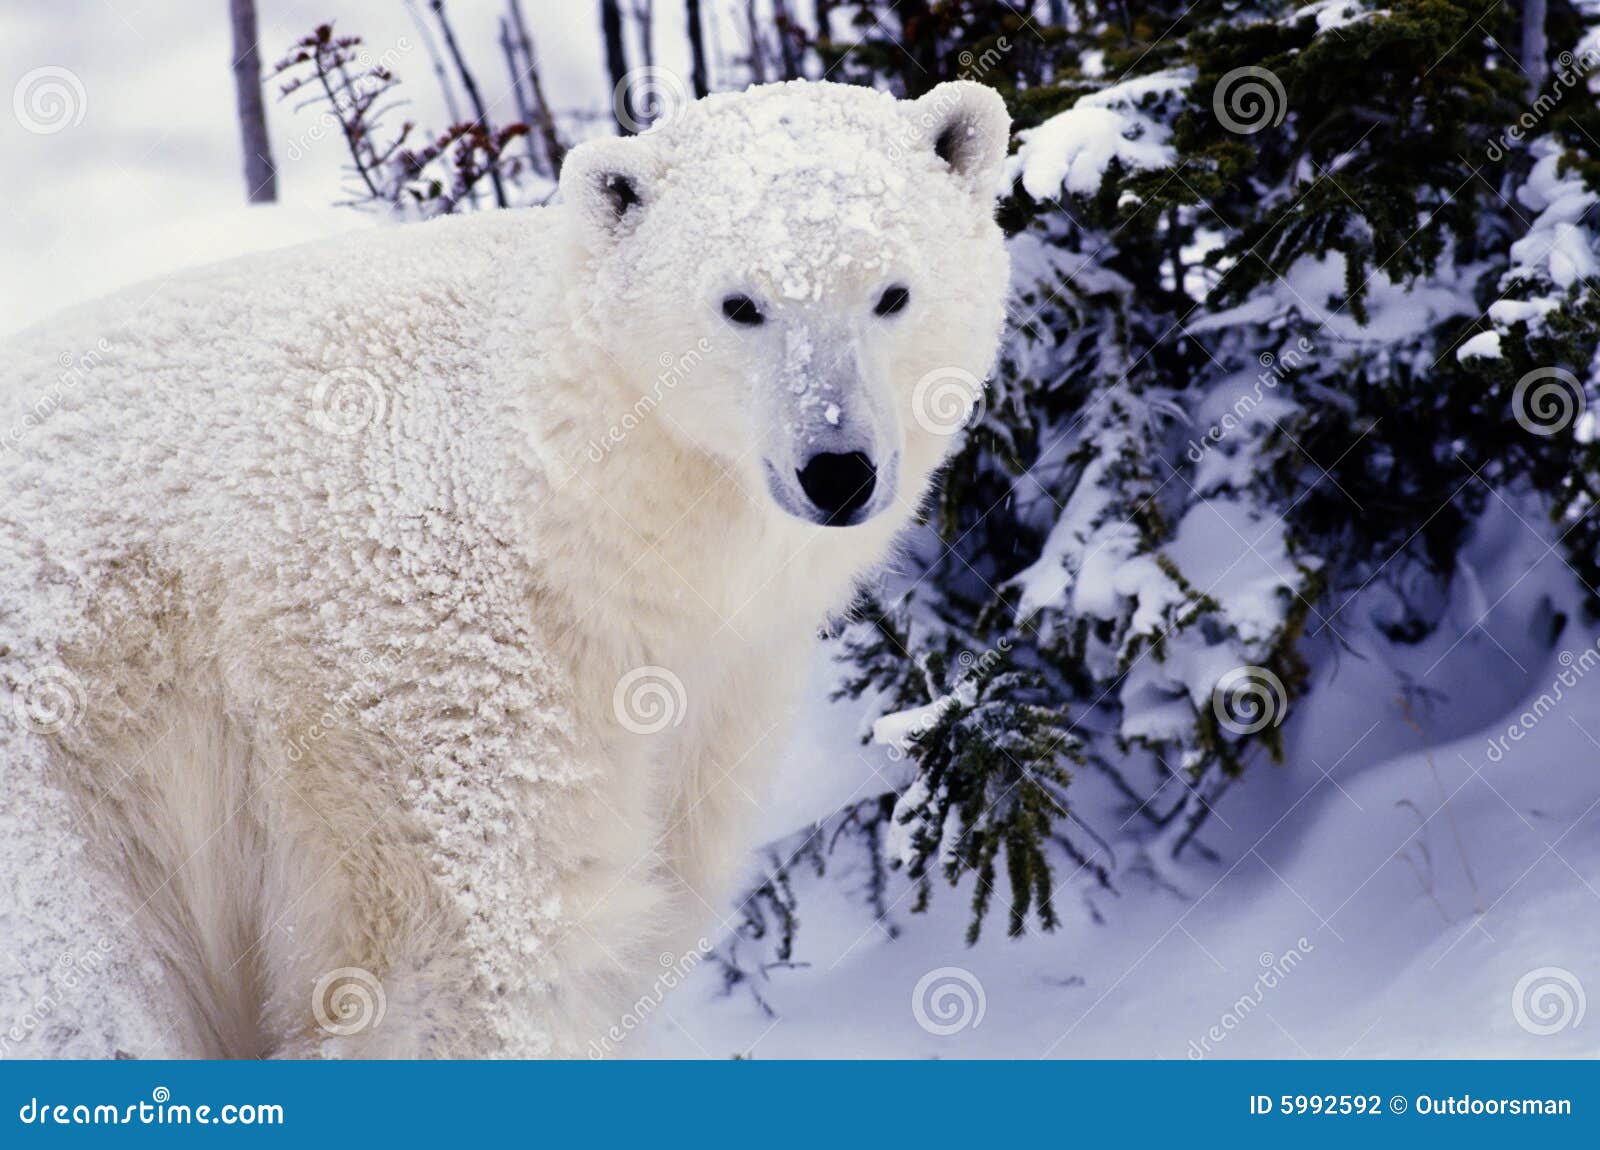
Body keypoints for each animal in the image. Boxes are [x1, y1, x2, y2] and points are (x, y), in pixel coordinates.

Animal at [0, 78, 1011, 1058]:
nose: (837, 469)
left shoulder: (716, 692)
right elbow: (459, 968)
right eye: (741, 304)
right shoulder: (416, 663)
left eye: (893, 293)